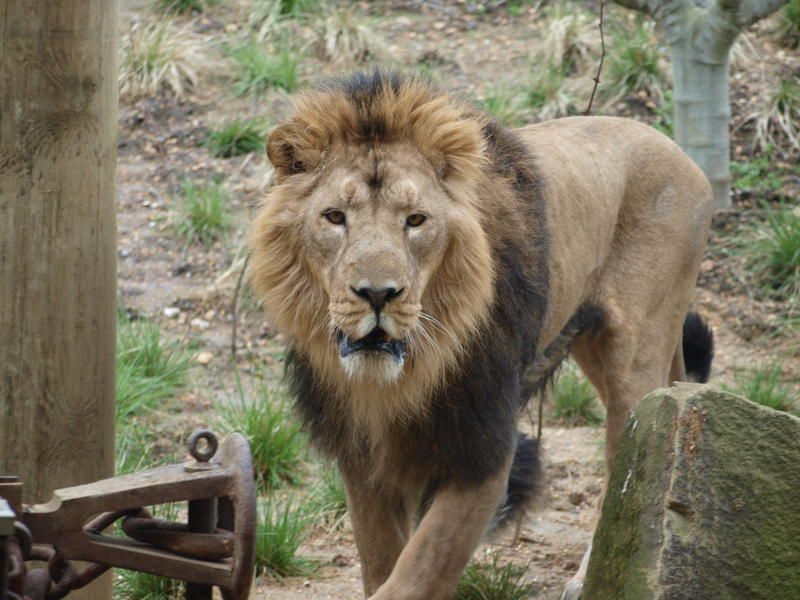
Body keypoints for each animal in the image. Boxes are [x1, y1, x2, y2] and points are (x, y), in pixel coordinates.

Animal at [248, 70, 715, 600]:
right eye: (333, 217)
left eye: (416, 220)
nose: (377, 294)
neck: (401, 379)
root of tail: (679, 151)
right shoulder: (365, 459)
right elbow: (381, 562)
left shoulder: (484, 451)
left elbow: (419, 570)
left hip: (636, 354)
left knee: (633, 461)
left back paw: (588, 578)